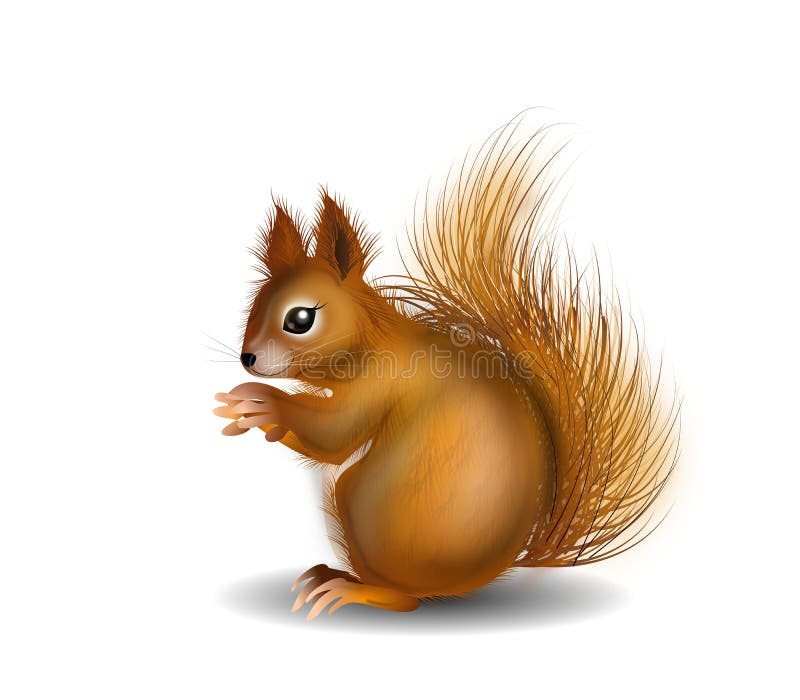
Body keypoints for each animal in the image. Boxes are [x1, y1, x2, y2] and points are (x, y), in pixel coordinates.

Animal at [214, 119, 680, 620]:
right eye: (254, 306)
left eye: (300, 319)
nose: (247, 359)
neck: (373, 342)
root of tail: (484, 575)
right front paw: (243, 408)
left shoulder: (380, 384)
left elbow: (335, 437)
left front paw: (266, 404)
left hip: (369, 509)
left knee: (406, 599)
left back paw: (352, 589)